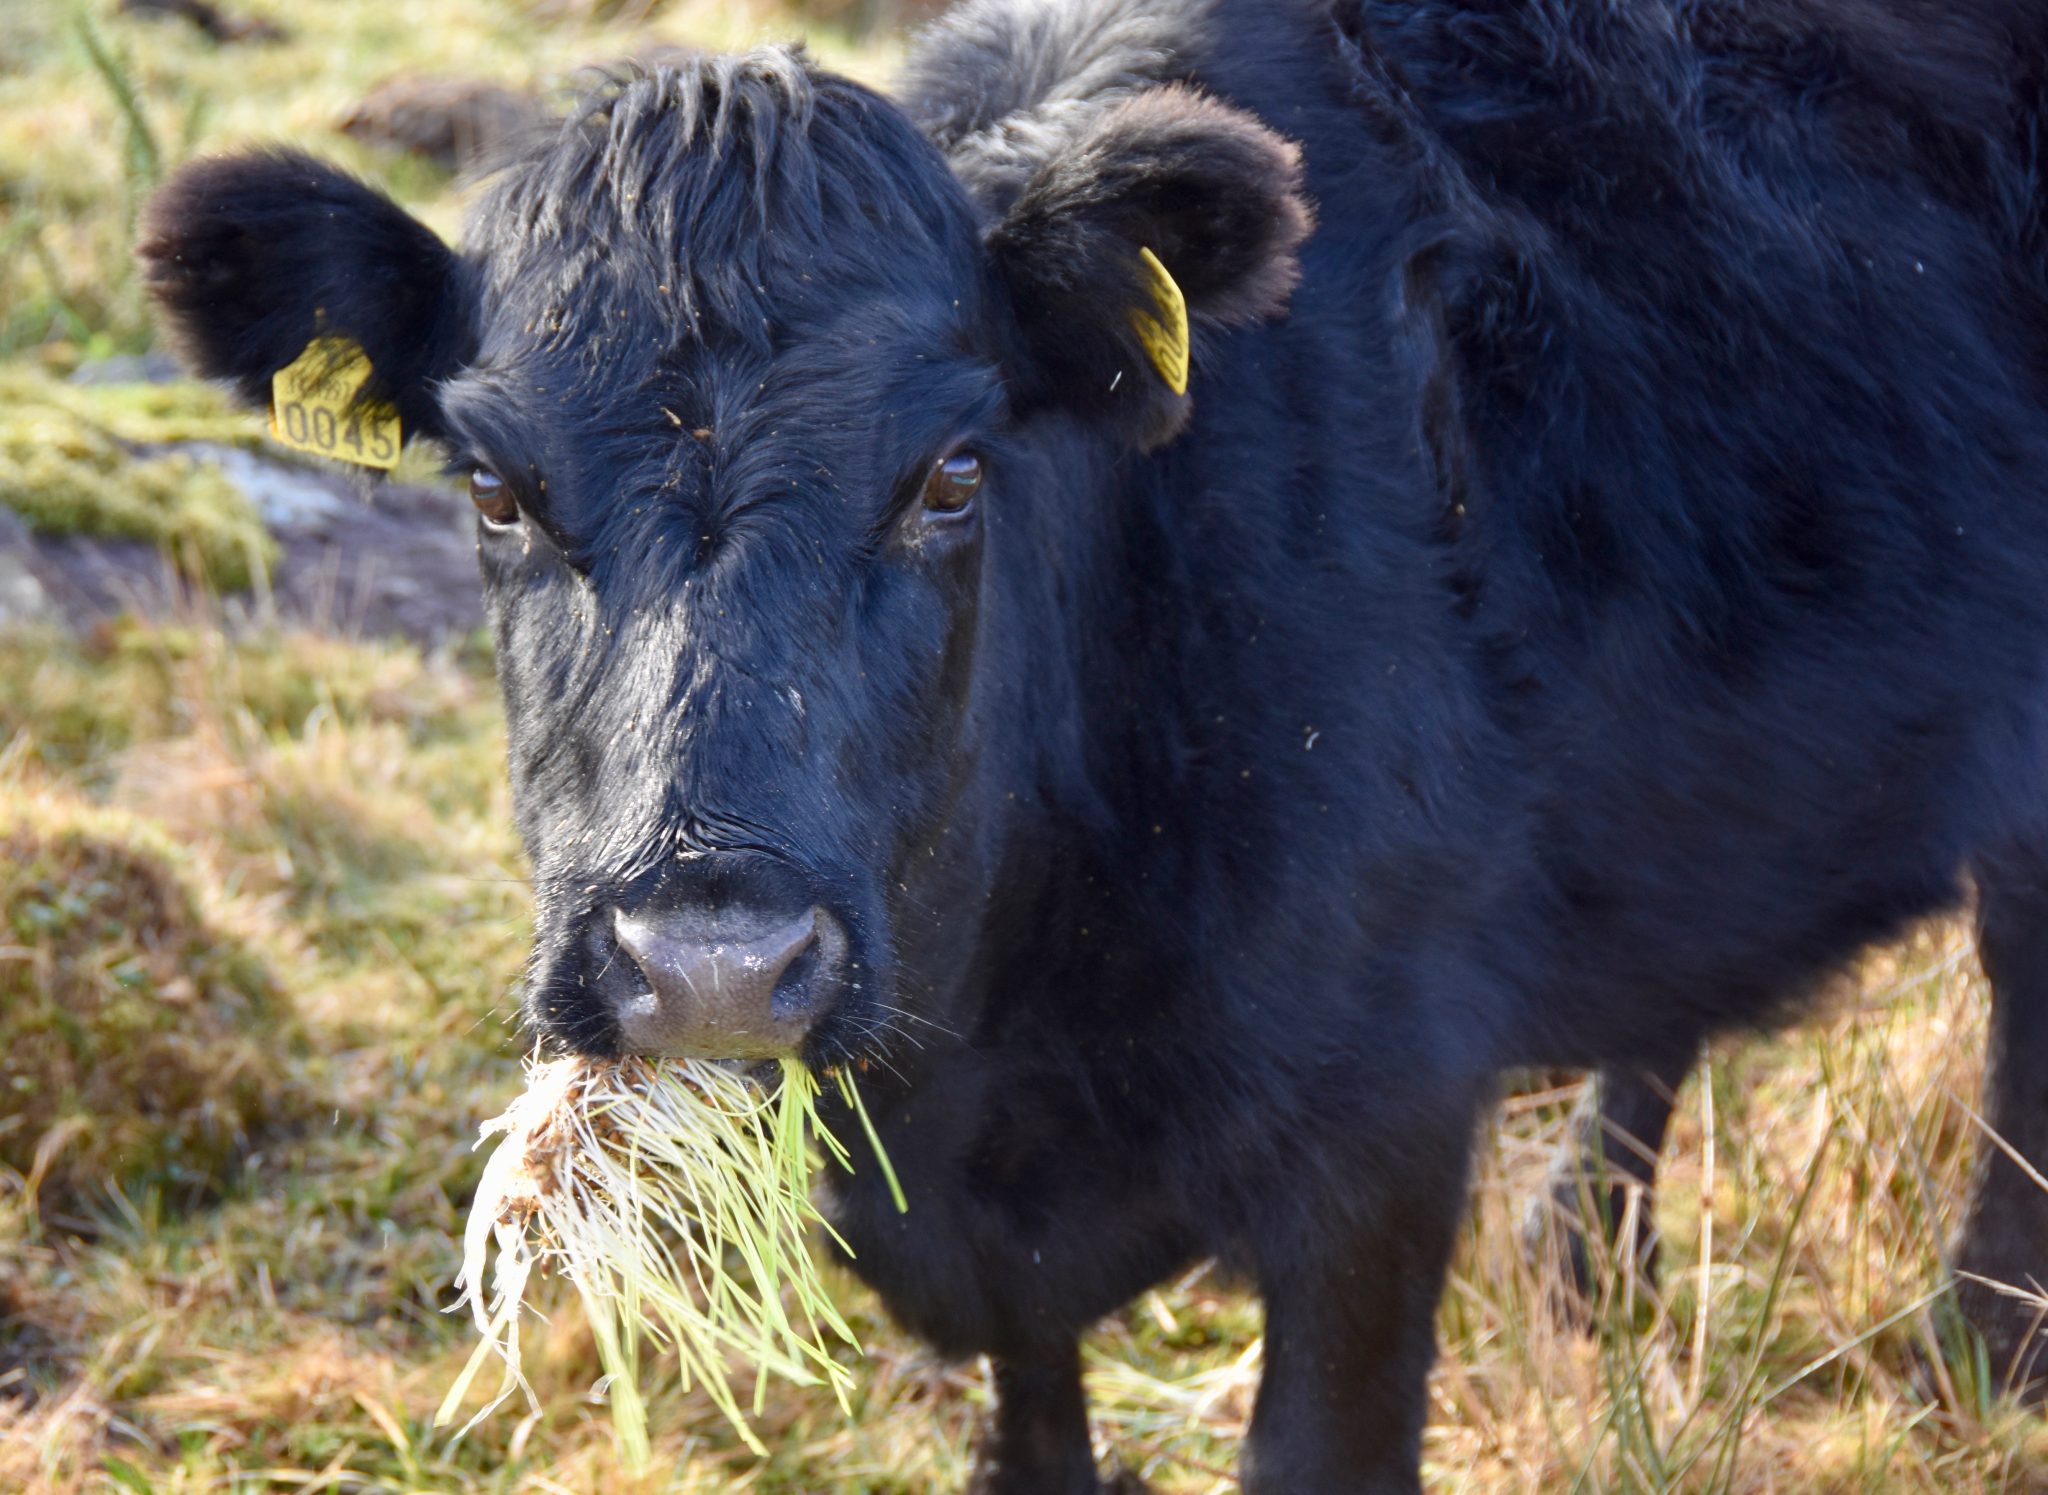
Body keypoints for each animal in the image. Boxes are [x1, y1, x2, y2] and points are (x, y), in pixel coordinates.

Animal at [138, 0, 2048, 1489]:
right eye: (490, 487)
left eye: (953, 470)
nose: (712, 962)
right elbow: (1035, 1439)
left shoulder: (1381, 1136)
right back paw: (1585, 1254)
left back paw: (1983, 1348)